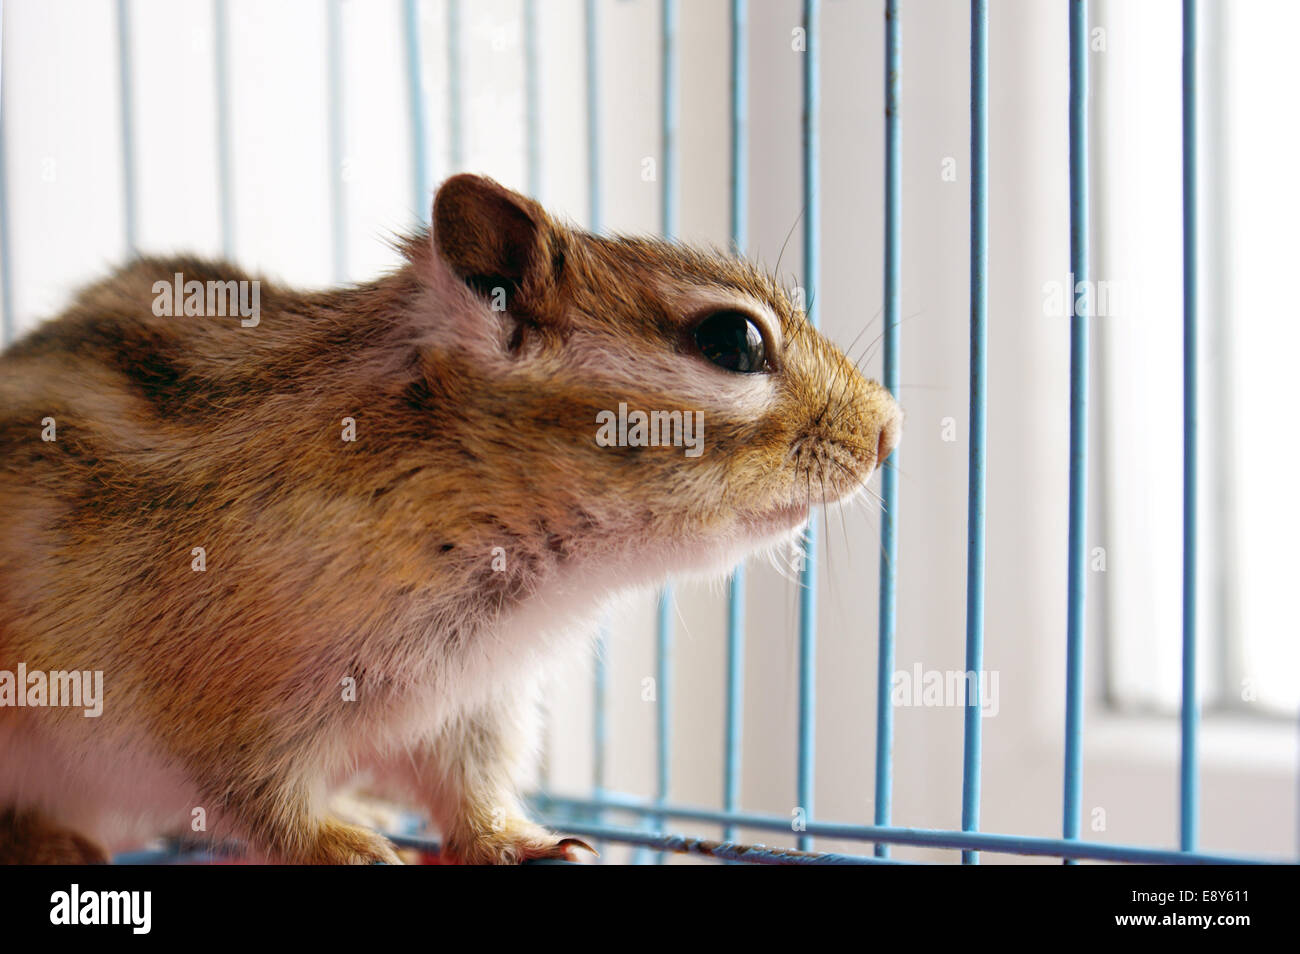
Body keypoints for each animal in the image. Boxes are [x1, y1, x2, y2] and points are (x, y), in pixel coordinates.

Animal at [0, 174, 901, 864]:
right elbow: (258, 794)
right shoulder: (220, 695)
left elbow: (470, 789)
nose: (890, 429)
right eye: (734, 341)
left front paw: (519, 841)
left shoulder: (476, 704)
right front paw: (339, 845)